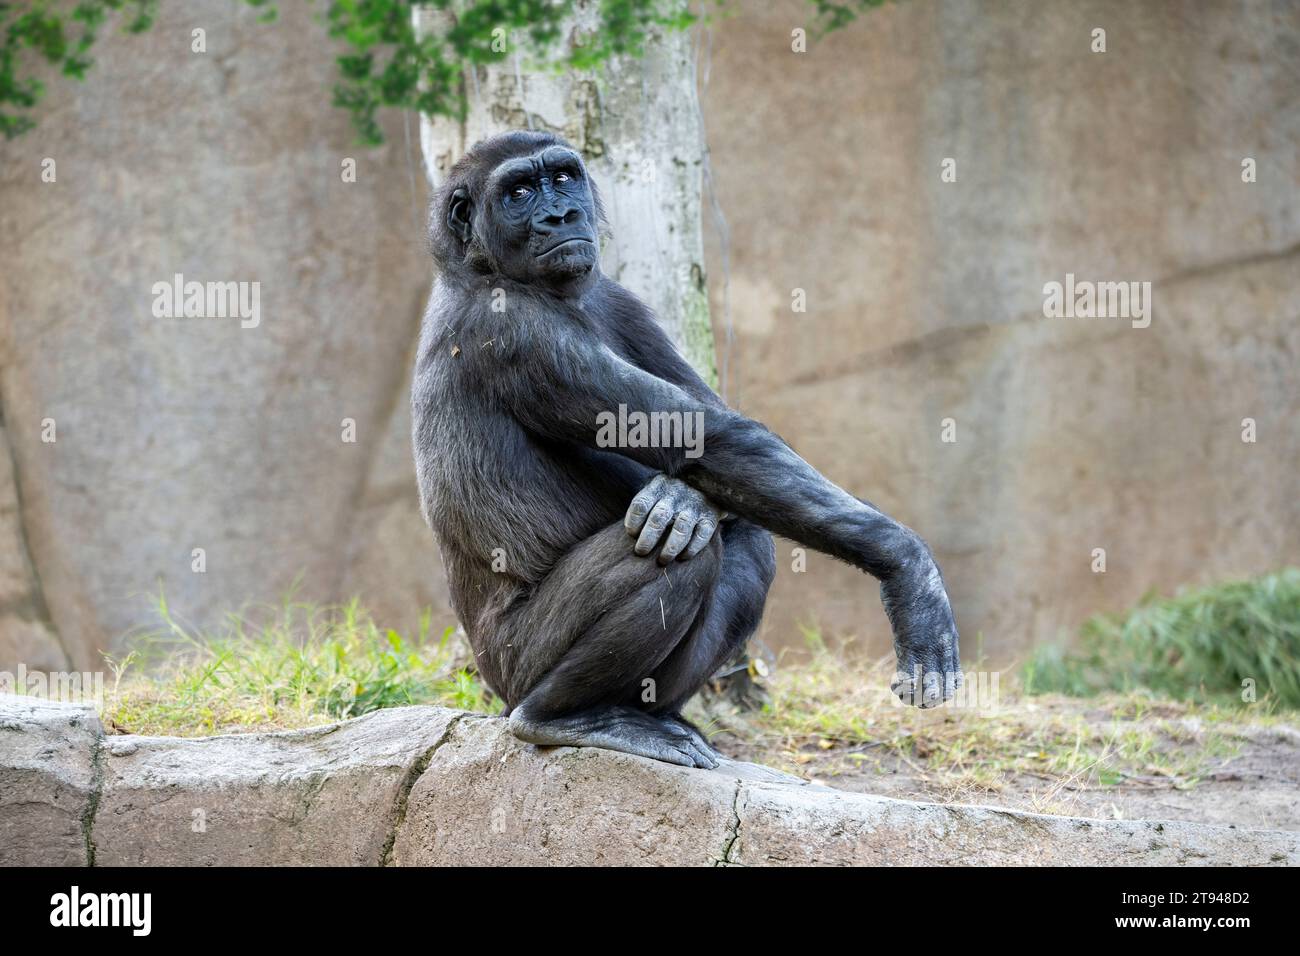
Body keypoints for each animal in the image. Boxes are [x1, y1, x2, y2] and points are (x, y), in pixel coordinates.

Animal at [412, 130, 961, 769]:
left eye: (563, 178)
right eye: (519, 192)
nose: (559, 215)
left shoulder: (620, 300)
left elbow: (713, 429)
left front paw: (683, 501)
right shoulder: (515, 330)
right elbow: (713, 440)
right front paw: (913, 578)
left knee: (744, 541)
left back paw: (651, 712)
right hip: (513, 665)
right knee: (677, 561)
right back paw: (561, 715)